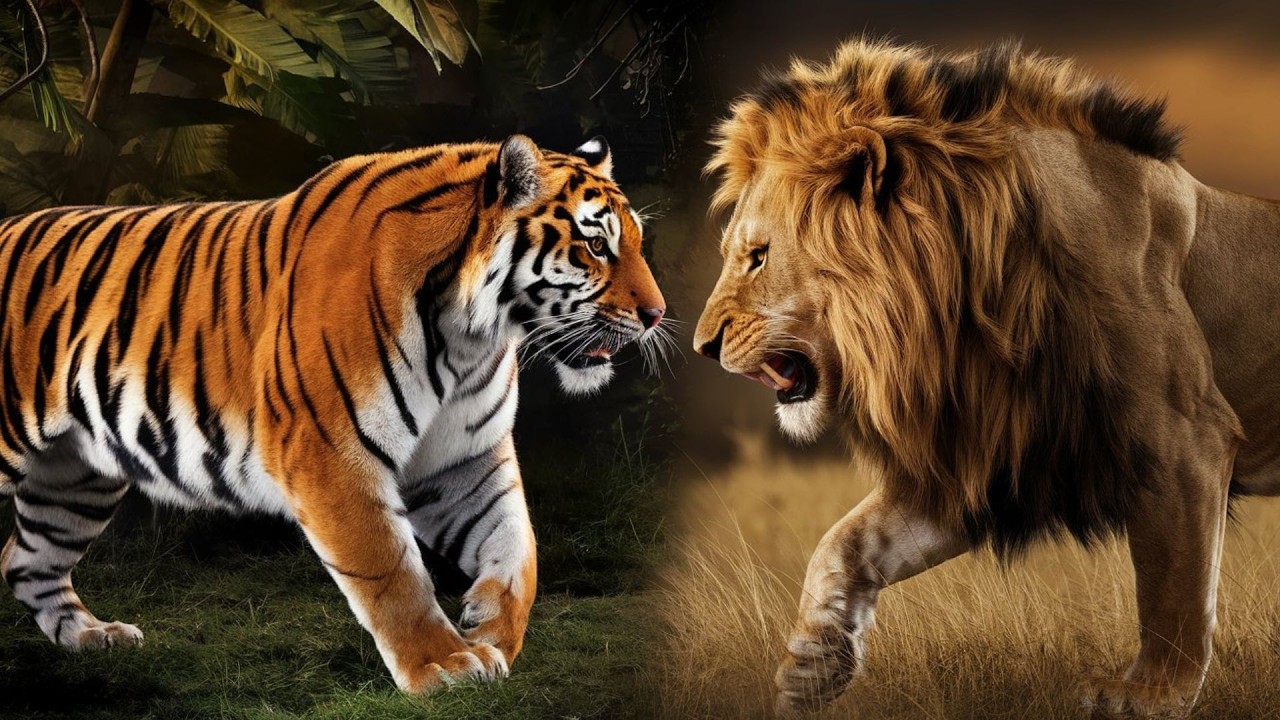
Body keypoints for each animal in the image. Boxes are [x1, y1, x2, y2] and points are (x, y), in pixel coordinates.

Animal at [0, 134, 667, 693]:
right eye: (595, 245)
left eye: (632, 242)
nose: (657, 315)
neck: (472, 336)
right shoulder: (328, 453)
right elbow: (390, 571)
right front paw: (444, 665)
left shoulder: (465, 459)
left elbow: (518, 545)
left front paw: (491, 628)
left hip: (77, 476)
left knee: (26, 560)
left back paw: (94, 638)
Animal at [693, 38, 1280, 718]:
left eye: (758, 257)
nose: (702, 347)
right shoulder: (993, 451)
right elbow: (846, 542)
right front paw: (812, 665)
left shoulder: (1186, 436)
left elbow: (1172, 581)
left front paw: (1151, 692)